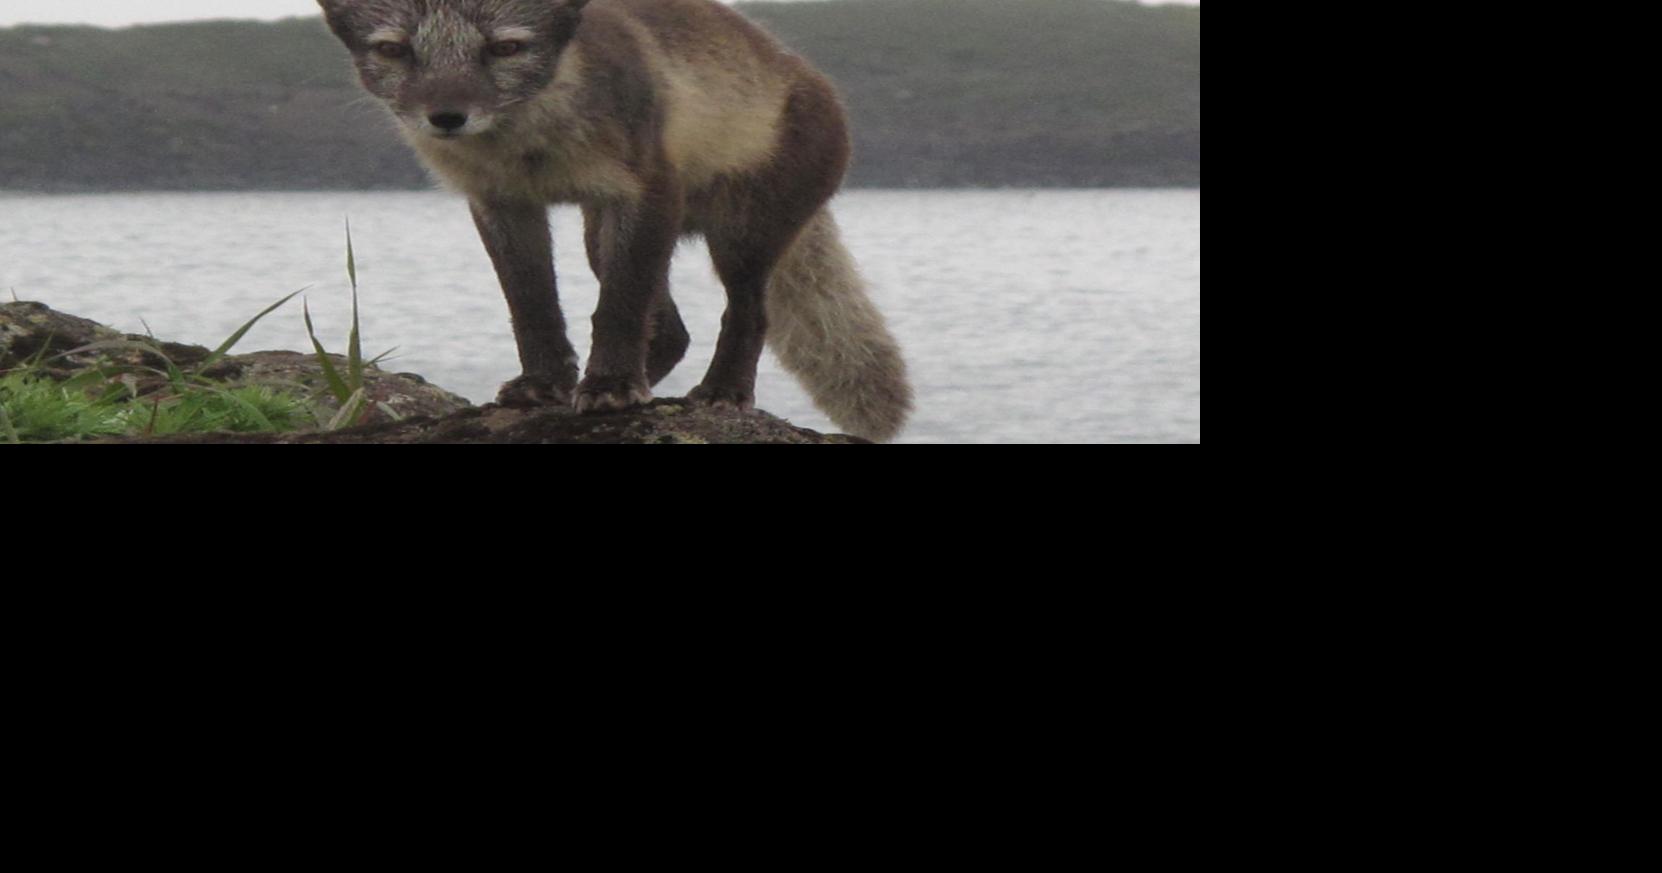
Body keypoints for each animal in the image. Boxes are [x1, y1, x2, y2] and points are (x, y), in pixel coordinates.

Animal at [317, 0, 912, 441]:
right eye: (395, 50)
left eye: (505, 47)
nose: (446, 117)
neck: (533, 148)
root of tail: (809, 75)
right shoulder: (502, 206)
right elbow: (532, 306)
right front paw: (545, 385)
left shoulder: (647, 193)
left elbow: (621, 307)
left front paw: (611, 387)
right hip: (597, 235)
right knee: (673, 332)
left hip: (738, 237)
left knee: (747, 314)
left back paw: (722, 393)